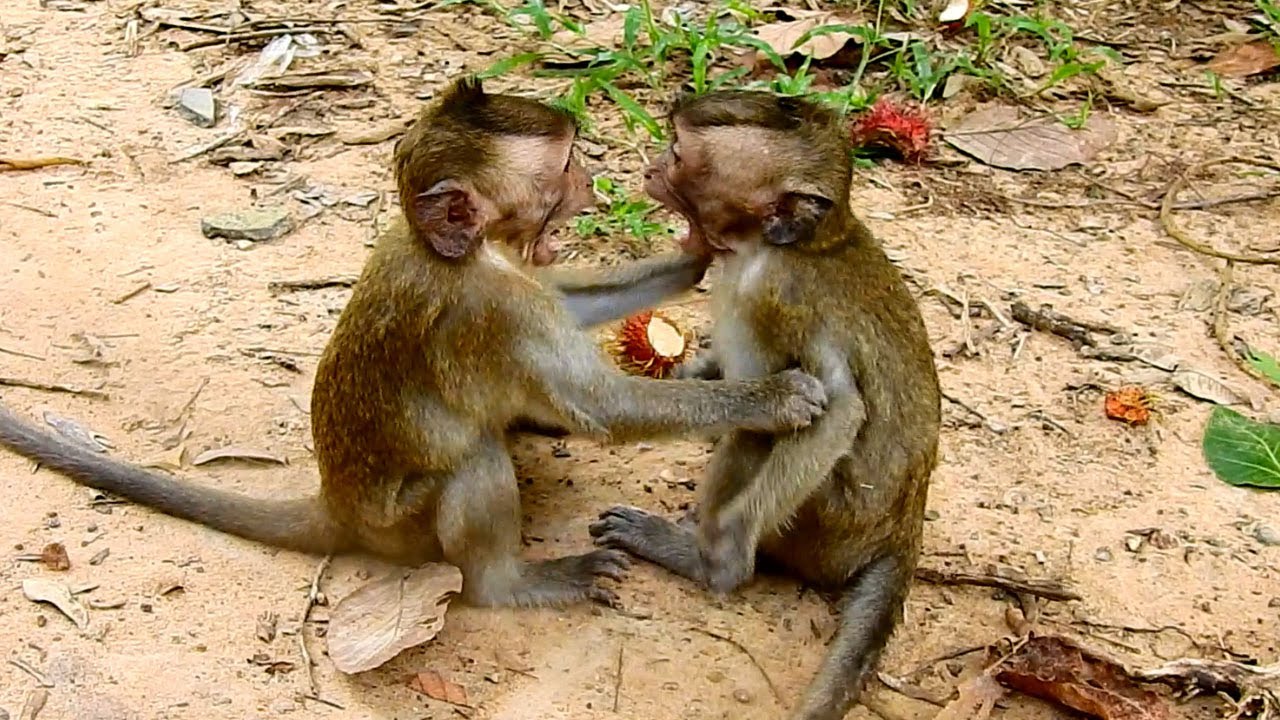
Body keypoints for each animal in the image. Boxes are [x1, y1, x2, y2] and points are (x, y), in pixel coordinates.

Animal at [0, 77, 831, 610]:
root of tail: (336, 503)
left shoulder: (509, 284)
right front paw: (773, 397)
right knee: (475, 461)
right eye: (564, 166)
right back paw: (510, 586)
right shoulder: (492, 309)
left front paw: (691, 257)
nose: (594, 181)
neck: (454, 252)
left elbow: (567, 303)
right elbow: (604, 406)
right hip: (402, 527)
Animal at [589, 89, 941, 719]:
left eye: (678, 155)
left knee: (759, 434)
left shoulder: (778, 296)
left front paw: (723, 559)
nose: (651, 169)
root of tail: (904, 530)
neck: (799, 243)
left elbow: (838, 408)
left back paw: (698, 552)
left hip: (823, 524)